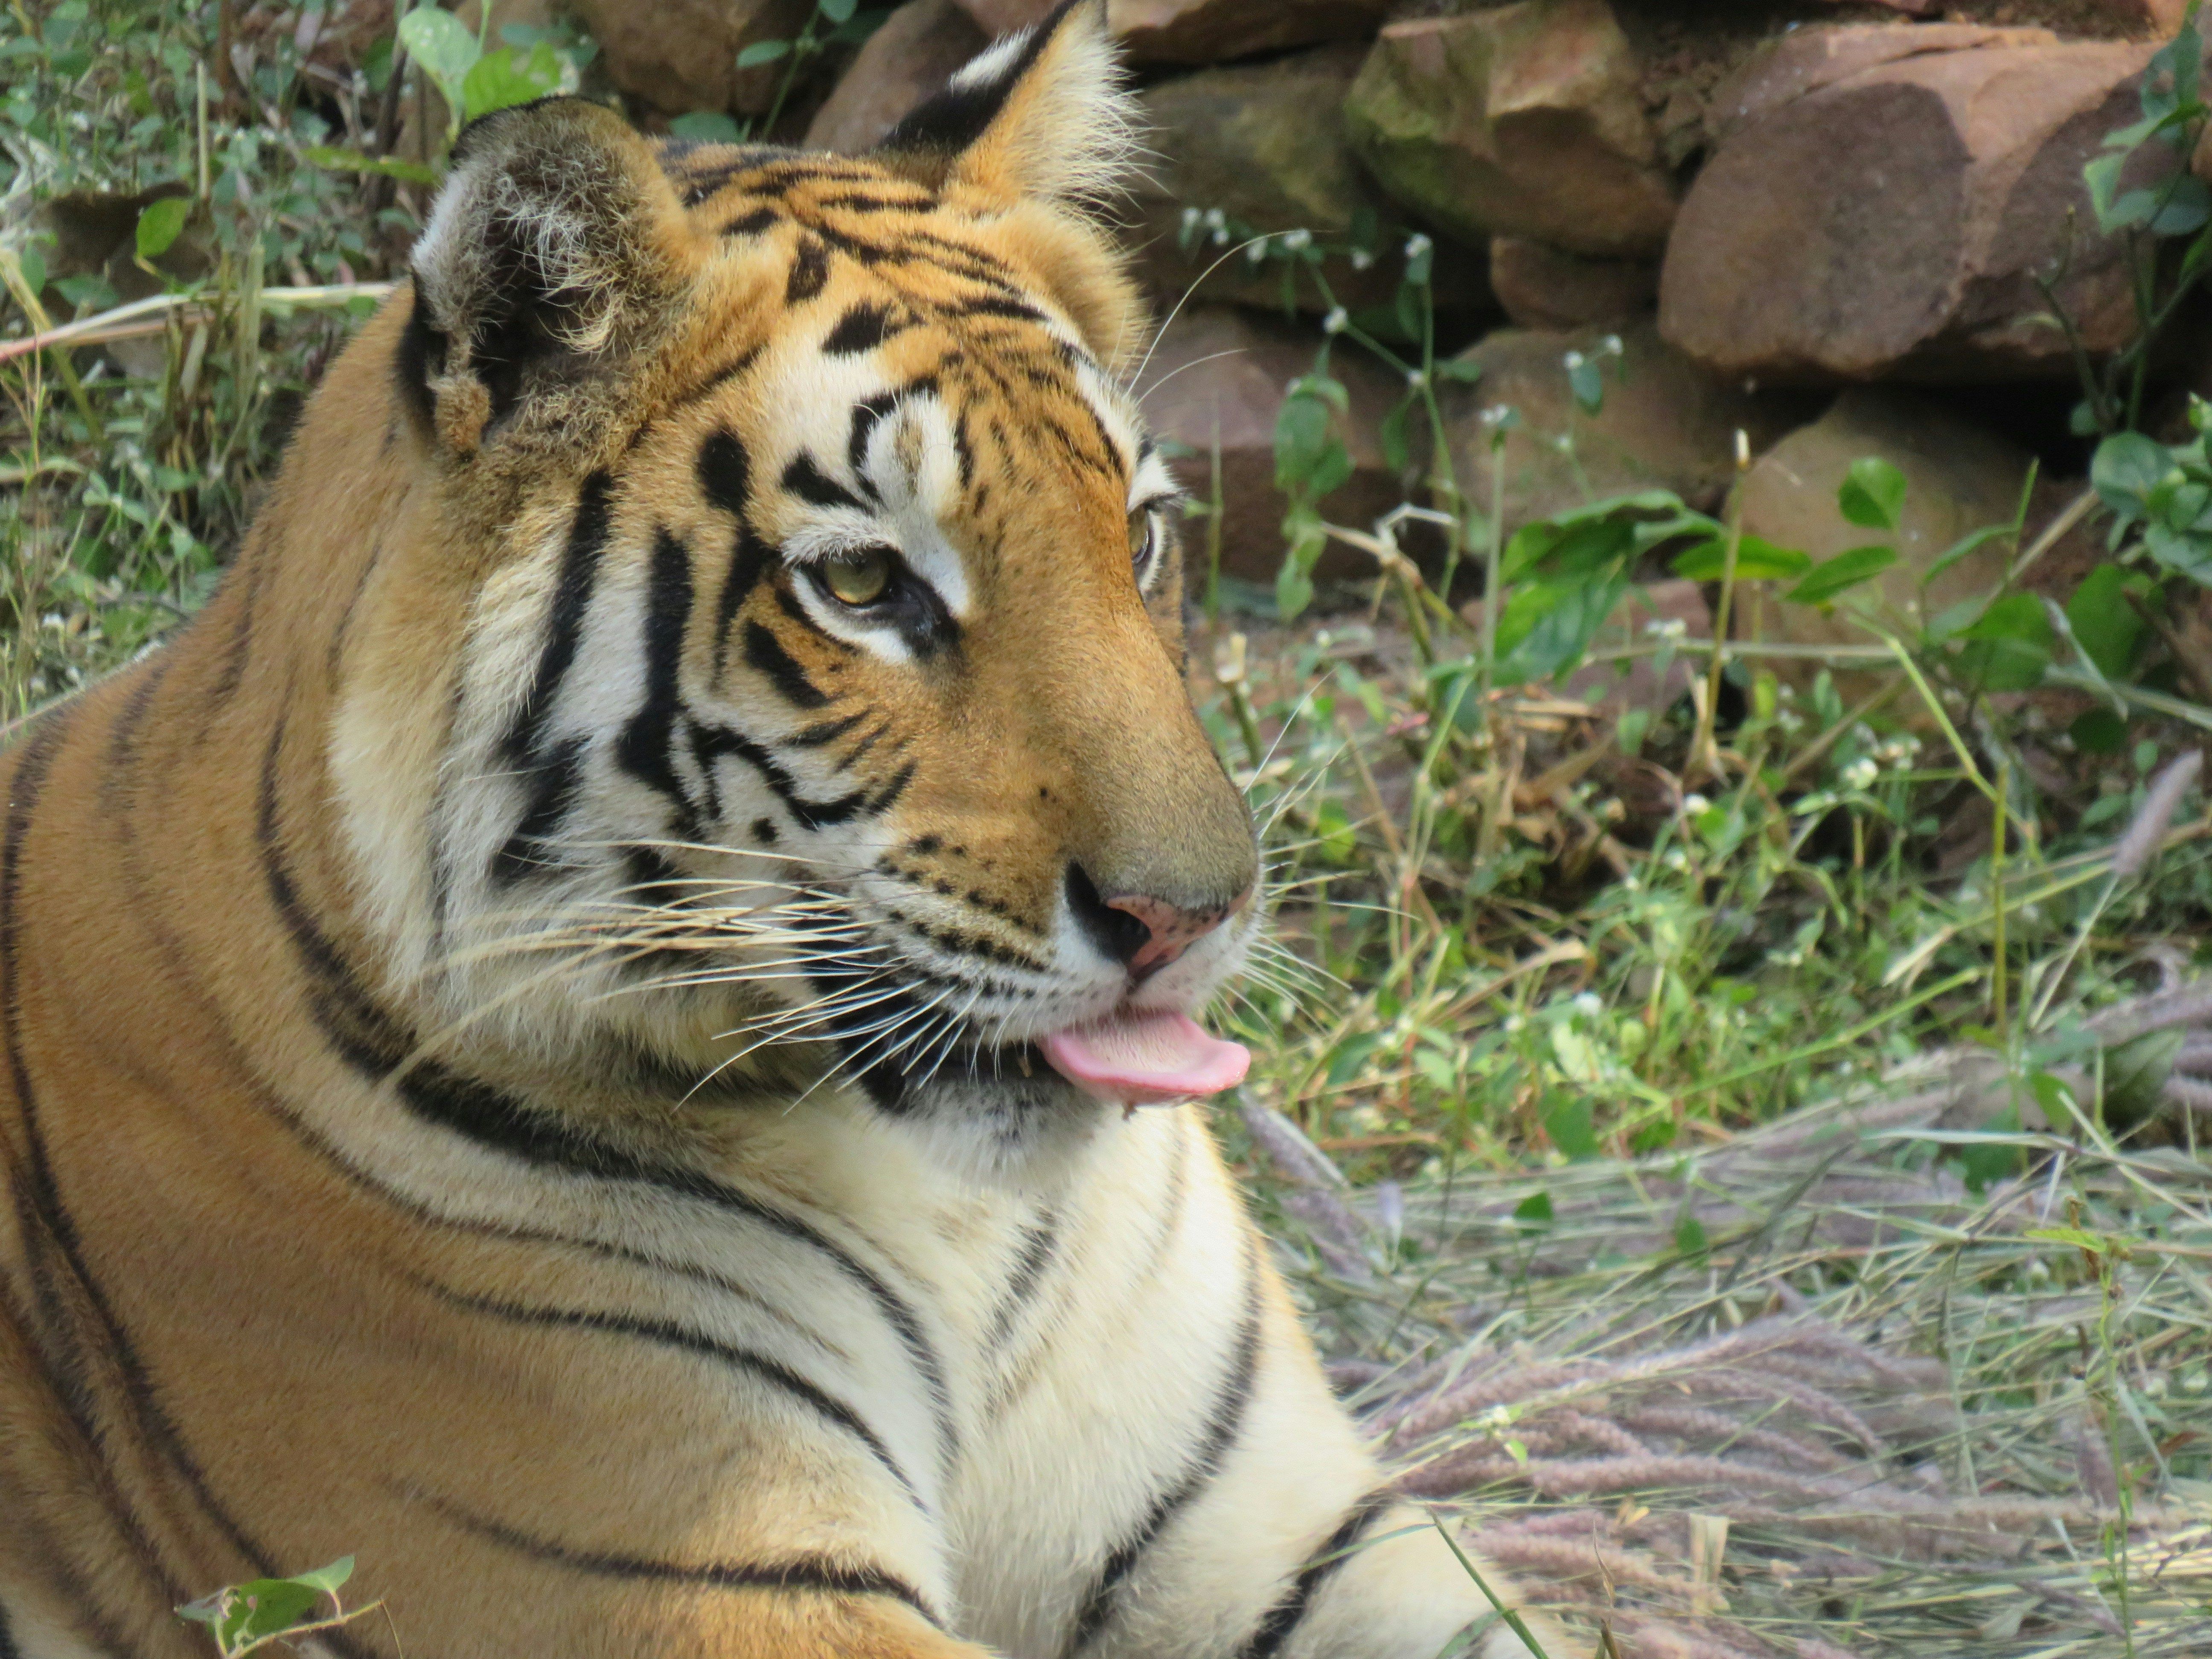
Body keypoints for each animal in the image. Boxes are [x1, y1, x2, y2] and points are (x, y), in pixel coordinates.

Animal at [0, 5, 1578, 1657]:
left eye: (1139, 537)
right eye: (867, 585)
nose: (1192, 918)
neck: (957, 1226)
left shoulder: (1295, 1529)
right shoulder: (697, 1577)